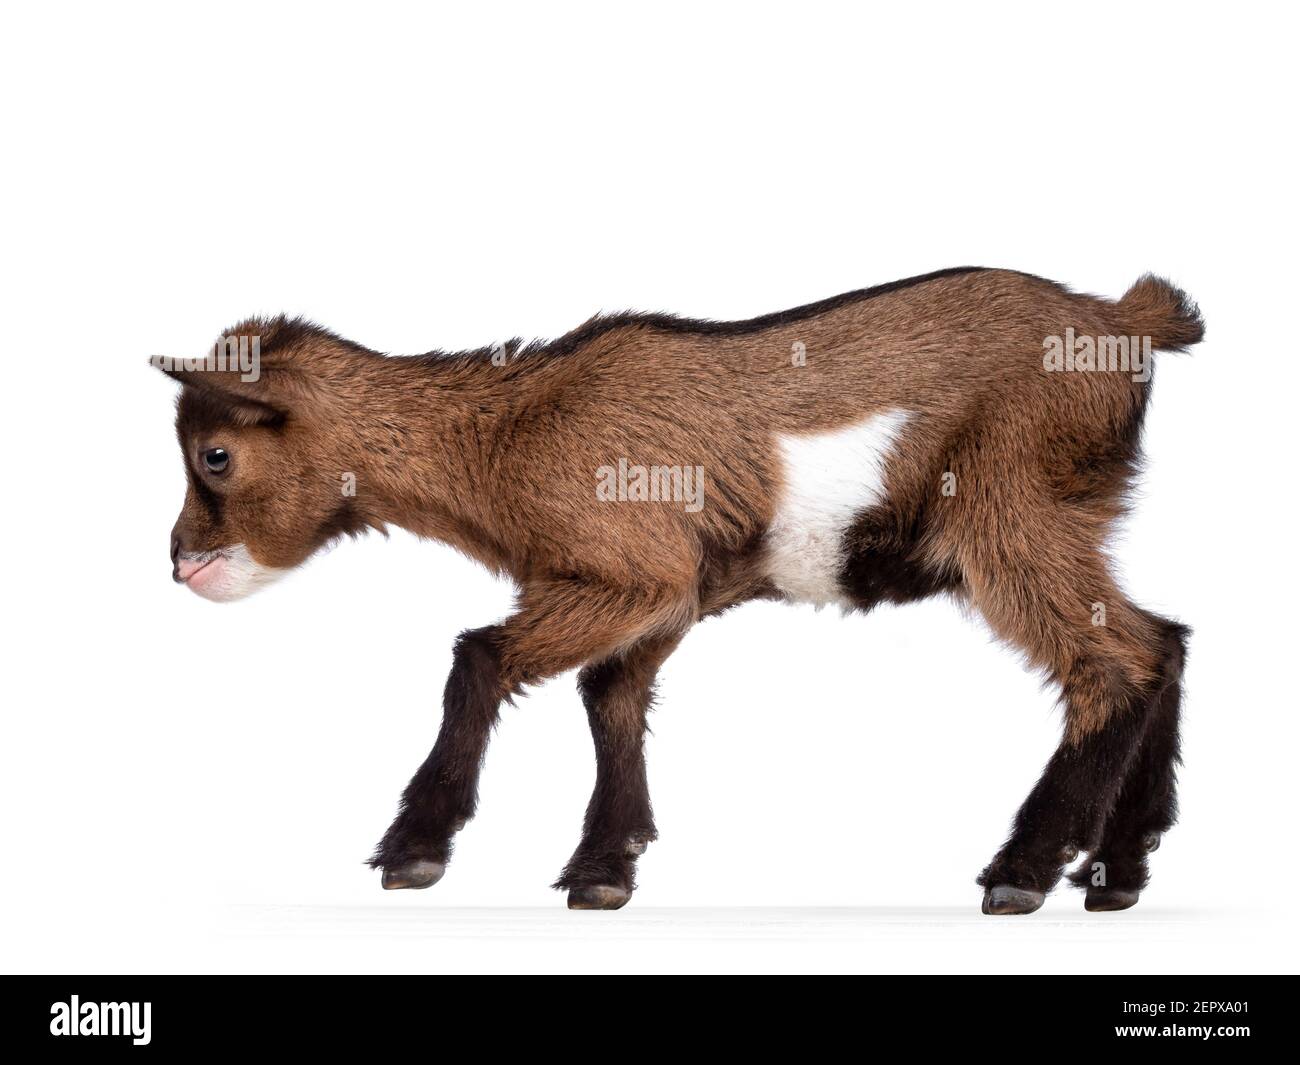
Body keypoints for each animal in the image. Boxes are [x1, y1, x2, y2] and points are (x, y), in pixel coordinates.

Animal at [155, 267, 1201, 913]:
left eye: (215, 454)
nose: (181, 561)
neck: (511, 429)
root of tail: (1124, 324)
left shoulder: (634, 572)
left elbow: (480, 656)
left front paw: (416, 847)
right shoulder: (669, 596)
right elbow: (611, 694)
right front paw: (604, 867)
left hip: (1008, 506)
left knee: (1113, 660)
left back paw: (1023, 870)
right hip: (1070, 510)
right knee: (1164, 639)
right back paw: (1119, 868)